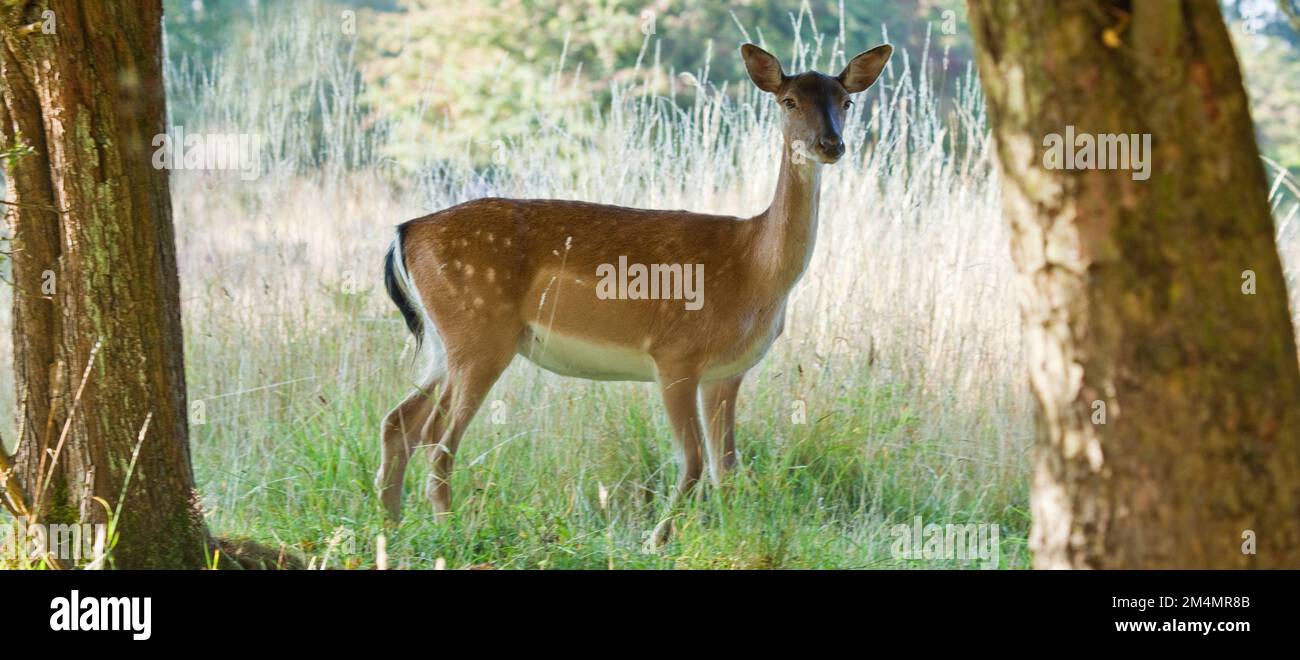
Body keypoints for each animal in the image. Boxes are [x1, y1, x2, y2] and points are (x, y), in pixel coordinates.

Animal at [377, 42, 892, 545]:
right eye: (788, 101)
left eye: (846, 101)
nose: (831, 144)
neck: (756, 268)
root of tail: (405, 232)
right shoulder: (676, 355)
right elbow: (694, 462)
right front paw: (656, 540)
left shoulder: (727, 372)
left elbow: (727, 468)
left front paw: (729, 539)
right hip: (480, 332)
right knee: (437, 437)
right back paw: (449, 532)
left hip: (446, 342)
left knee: (398, 422)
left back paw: (392, 527)